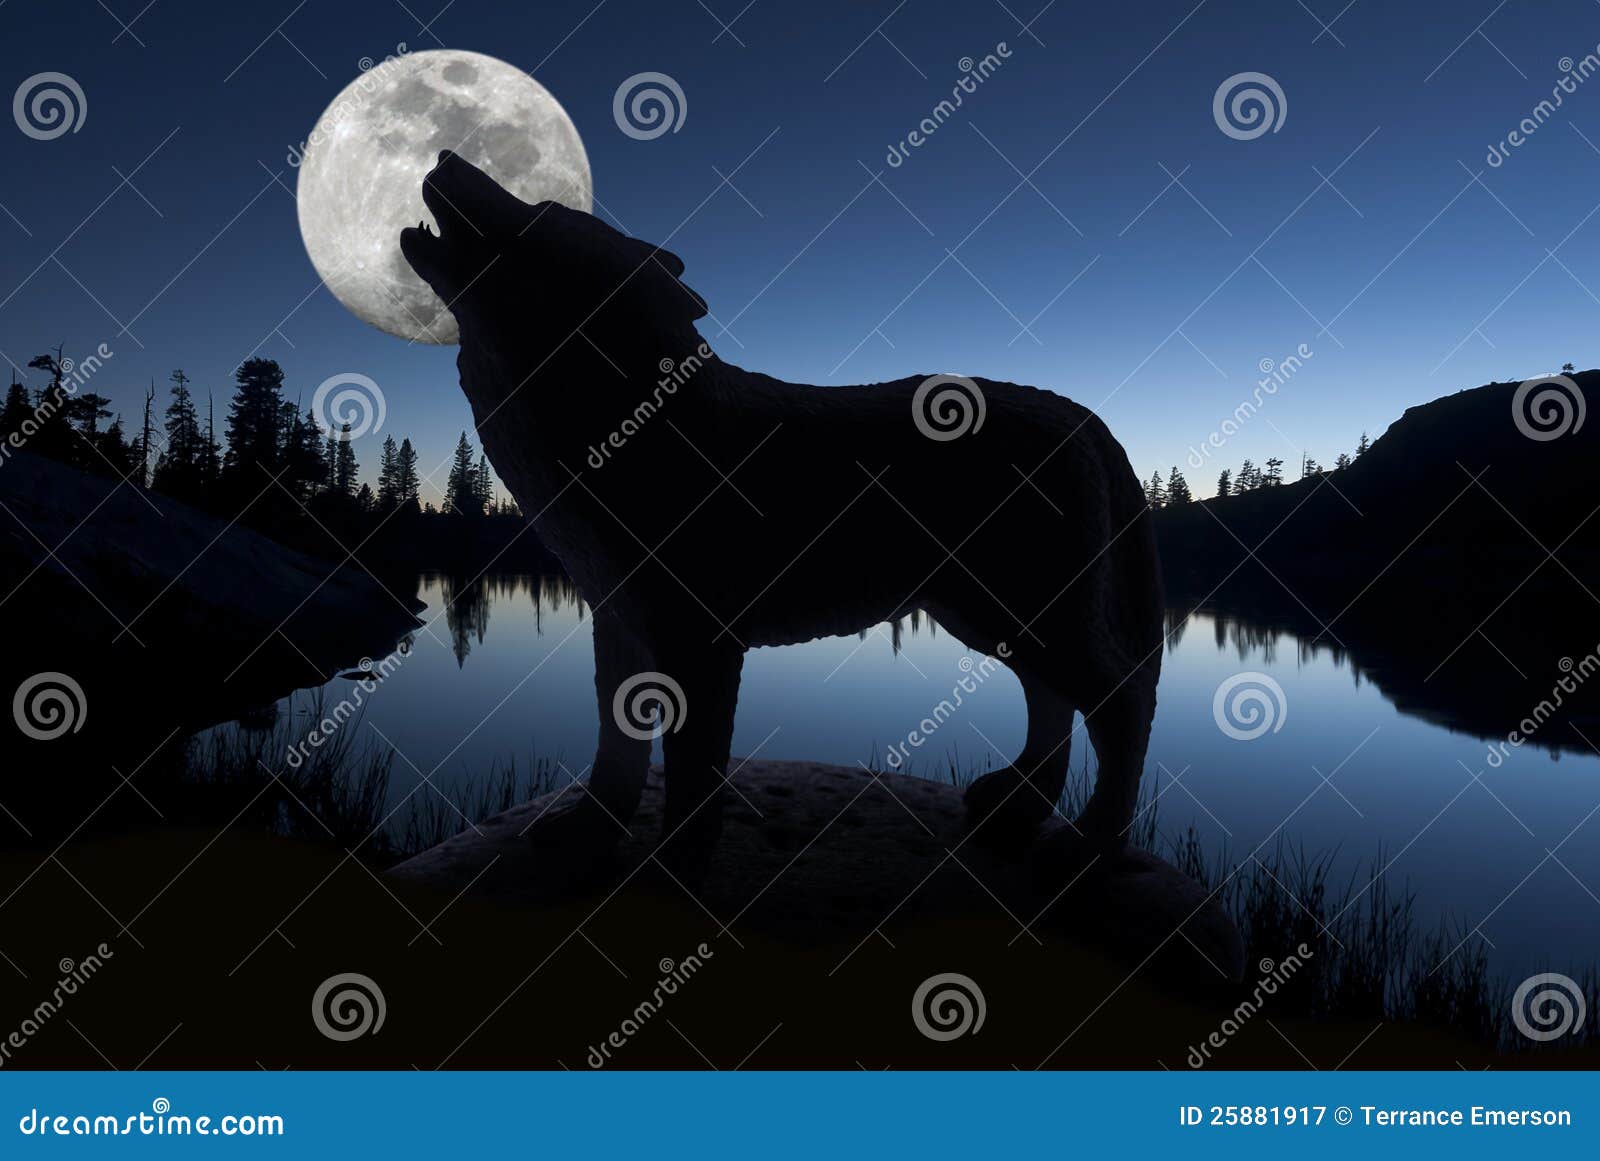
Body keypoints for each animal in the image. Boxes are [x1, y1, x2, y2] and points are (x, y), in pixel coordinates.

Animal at [402, 151, 1162, 870]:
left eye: (541, 212)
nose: (443, 155)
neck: (623, 421)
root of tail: (1082, 416)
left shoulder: (698, 641)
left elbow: (689, 786)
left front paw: (673, 873)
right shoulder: (618, 622)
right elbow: (615, 754)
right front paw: (589, 835)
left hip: (1022, 613)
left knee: (1121, 703)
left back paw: (1092, 848)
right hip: (987, 615)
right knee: (1052, 701)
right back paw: (1017, 808)